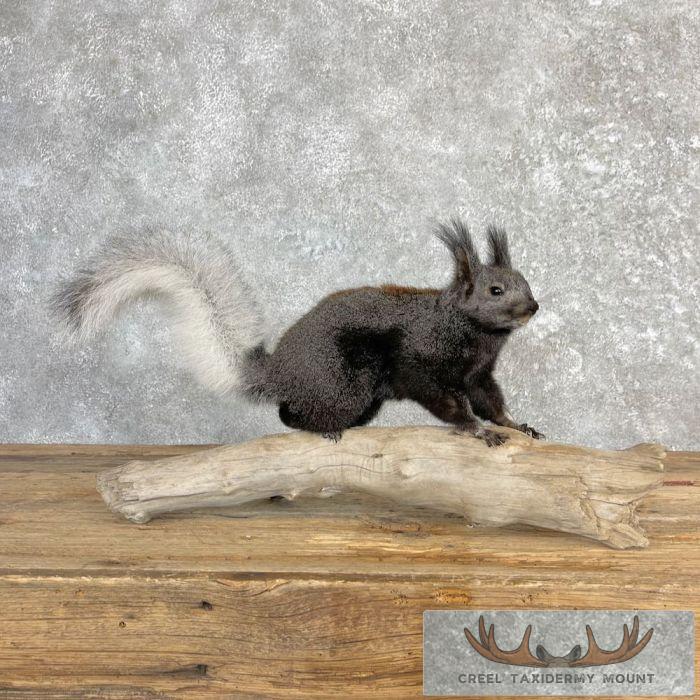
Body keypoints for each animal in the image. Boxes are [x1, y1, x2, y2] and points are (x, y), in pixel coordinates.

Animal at [53, 218, 544, 447]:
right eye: (496, 290)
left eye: (525, 280)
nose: (534, 306)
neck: (472, 332)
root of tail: (282, 372)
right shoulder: (424, 362)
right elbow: (450, 404)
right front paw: (477, 430)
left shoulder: (479, 373)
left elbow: (490, 399)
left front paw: (513, 423)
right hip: (346, 384)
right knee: (289, 415)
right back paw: (322, 430)